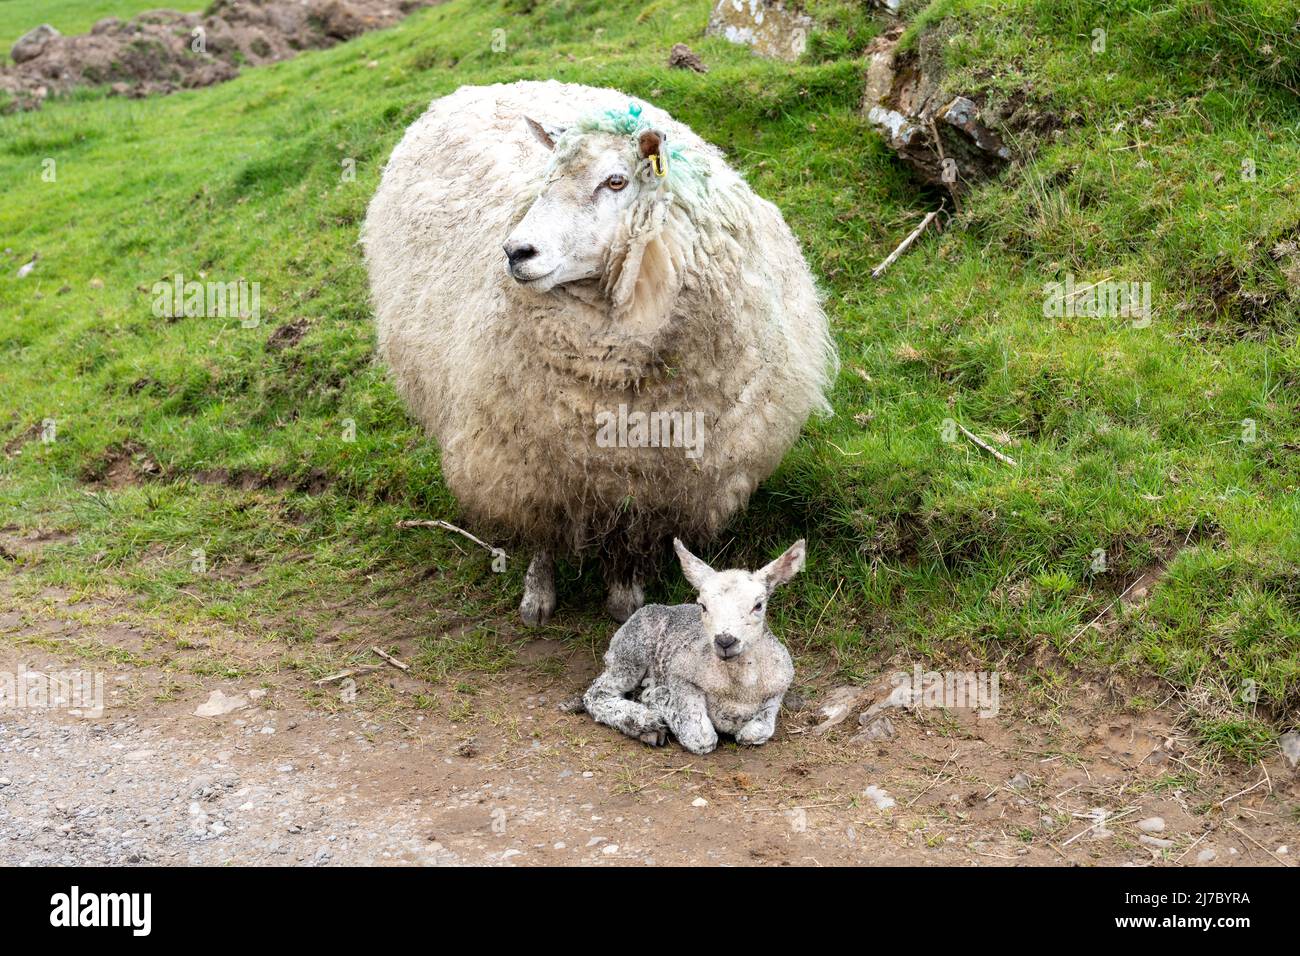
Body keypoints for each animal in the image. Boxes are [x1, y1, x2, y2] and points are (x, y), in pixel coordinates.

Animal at [362, 80, 836, 624]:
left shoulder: (656, 478)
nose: (516, 252)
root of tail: (476, 87)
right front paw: (537, 595)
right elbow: (544, 535)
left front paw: (626, 598)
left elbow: (634, 537)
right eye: (546, 178)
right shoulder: (532, 464)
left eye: (615, 181)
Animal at [582, 538, 805, 755]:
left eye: (758, 605)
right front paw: (658, 700)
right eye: (703, 606)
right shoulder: (679, 674)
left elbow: (756, 731)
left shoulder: (779, 686)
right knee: (597, 692)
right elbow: (700, 736)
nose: (725, 641)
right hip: (631, 650)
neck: (738, 687)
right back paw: (645, 722)